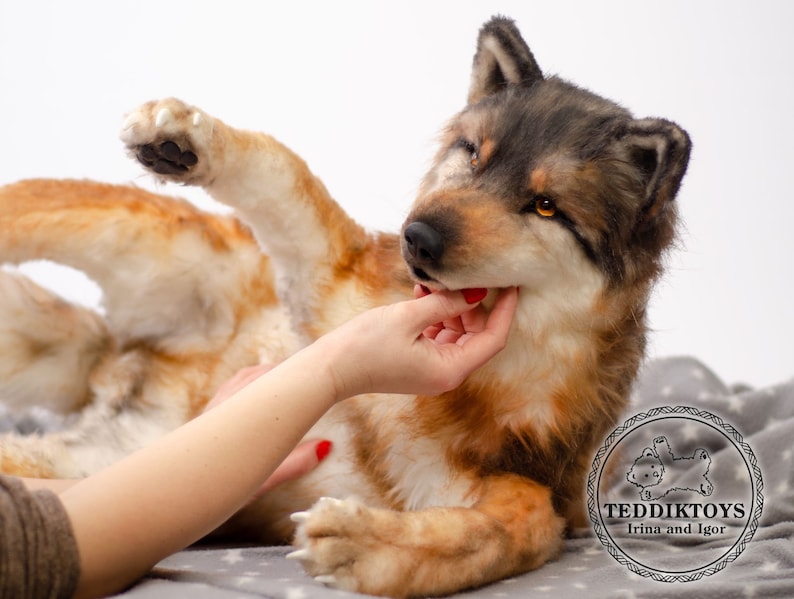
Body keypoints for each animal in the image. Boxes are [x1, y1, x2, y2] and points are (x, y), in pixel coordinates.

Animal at [0, 16, 690, 597]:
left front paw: (368, 544)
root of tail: (119, 369)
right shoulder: (323, 273)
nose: (418, 238)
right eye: (472, 153)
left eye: (545, 206)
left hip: (98, 467)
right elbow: (283, 166)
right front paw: (187, 136)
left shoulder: (536, 492)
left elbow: (512, 528)